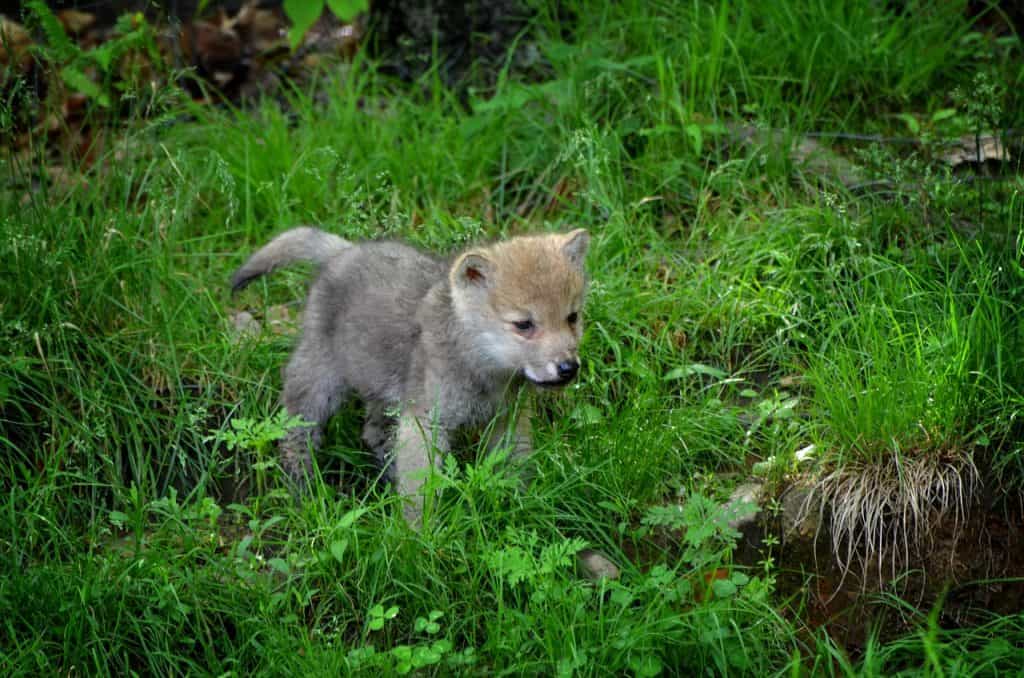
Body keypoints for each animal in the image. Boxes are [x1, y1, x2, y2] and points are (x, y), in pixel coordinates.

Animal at [231, 226, 590, 524]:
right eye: (523, 324)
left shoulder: (507, 419)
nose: (568, 368)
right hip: (318, 380)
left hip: (383, 390)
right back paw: (304, 492)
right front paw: (418, 536)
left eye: (572, 317)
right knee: (295, 435)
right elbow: (422, 490)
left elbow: (514, 468)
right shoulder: (425, 423)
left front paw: (518, 507)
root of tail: (343, 251)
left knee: (373, 434)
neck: (480, 367)